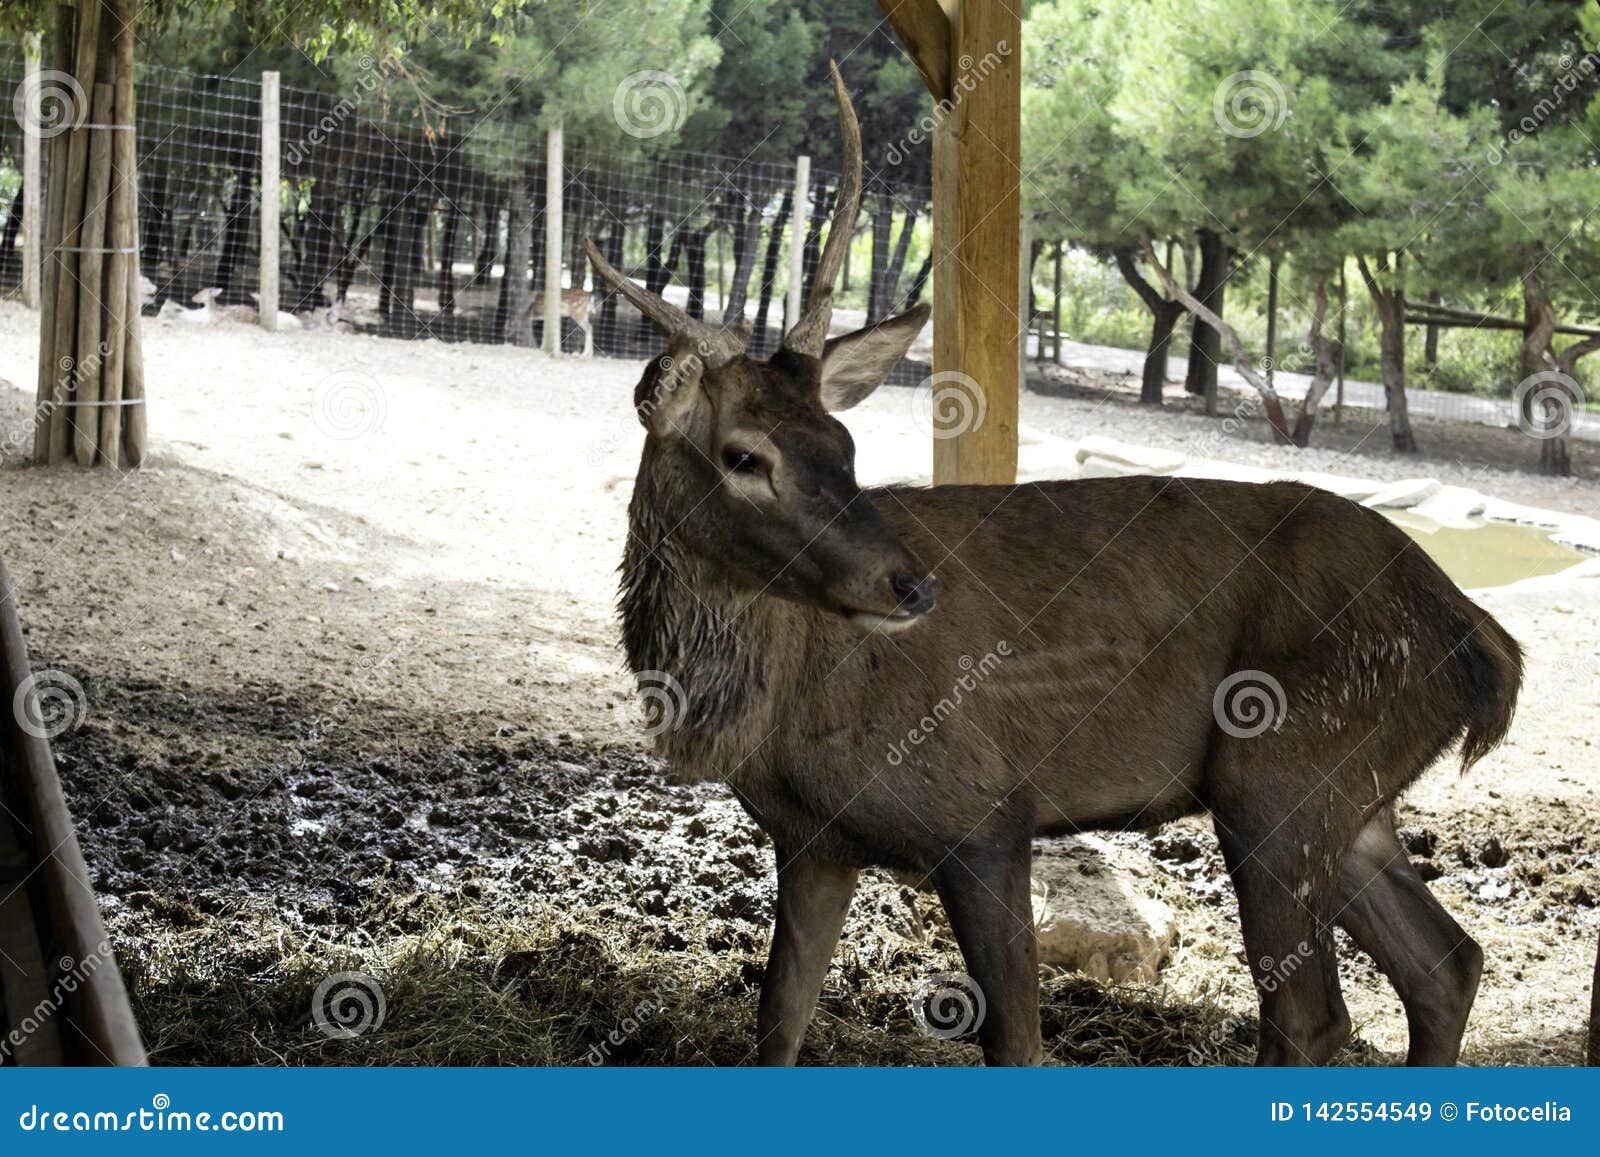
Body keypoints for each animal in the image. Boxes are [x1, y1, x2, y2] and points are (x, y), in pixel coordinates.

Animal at [586, 62, 1524, 1067]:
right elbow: (779, 1022)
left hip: (1283, 769)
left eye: (842, 443)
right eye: (744, 455)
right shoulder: (814, 841)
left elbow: (1017, 1041)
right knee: (1447, 961)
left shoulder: (983, 812)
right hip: (1354, 798)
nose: (908, 582)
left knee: (1314, 1014)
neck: (779, 719)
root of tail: (1481, 638)